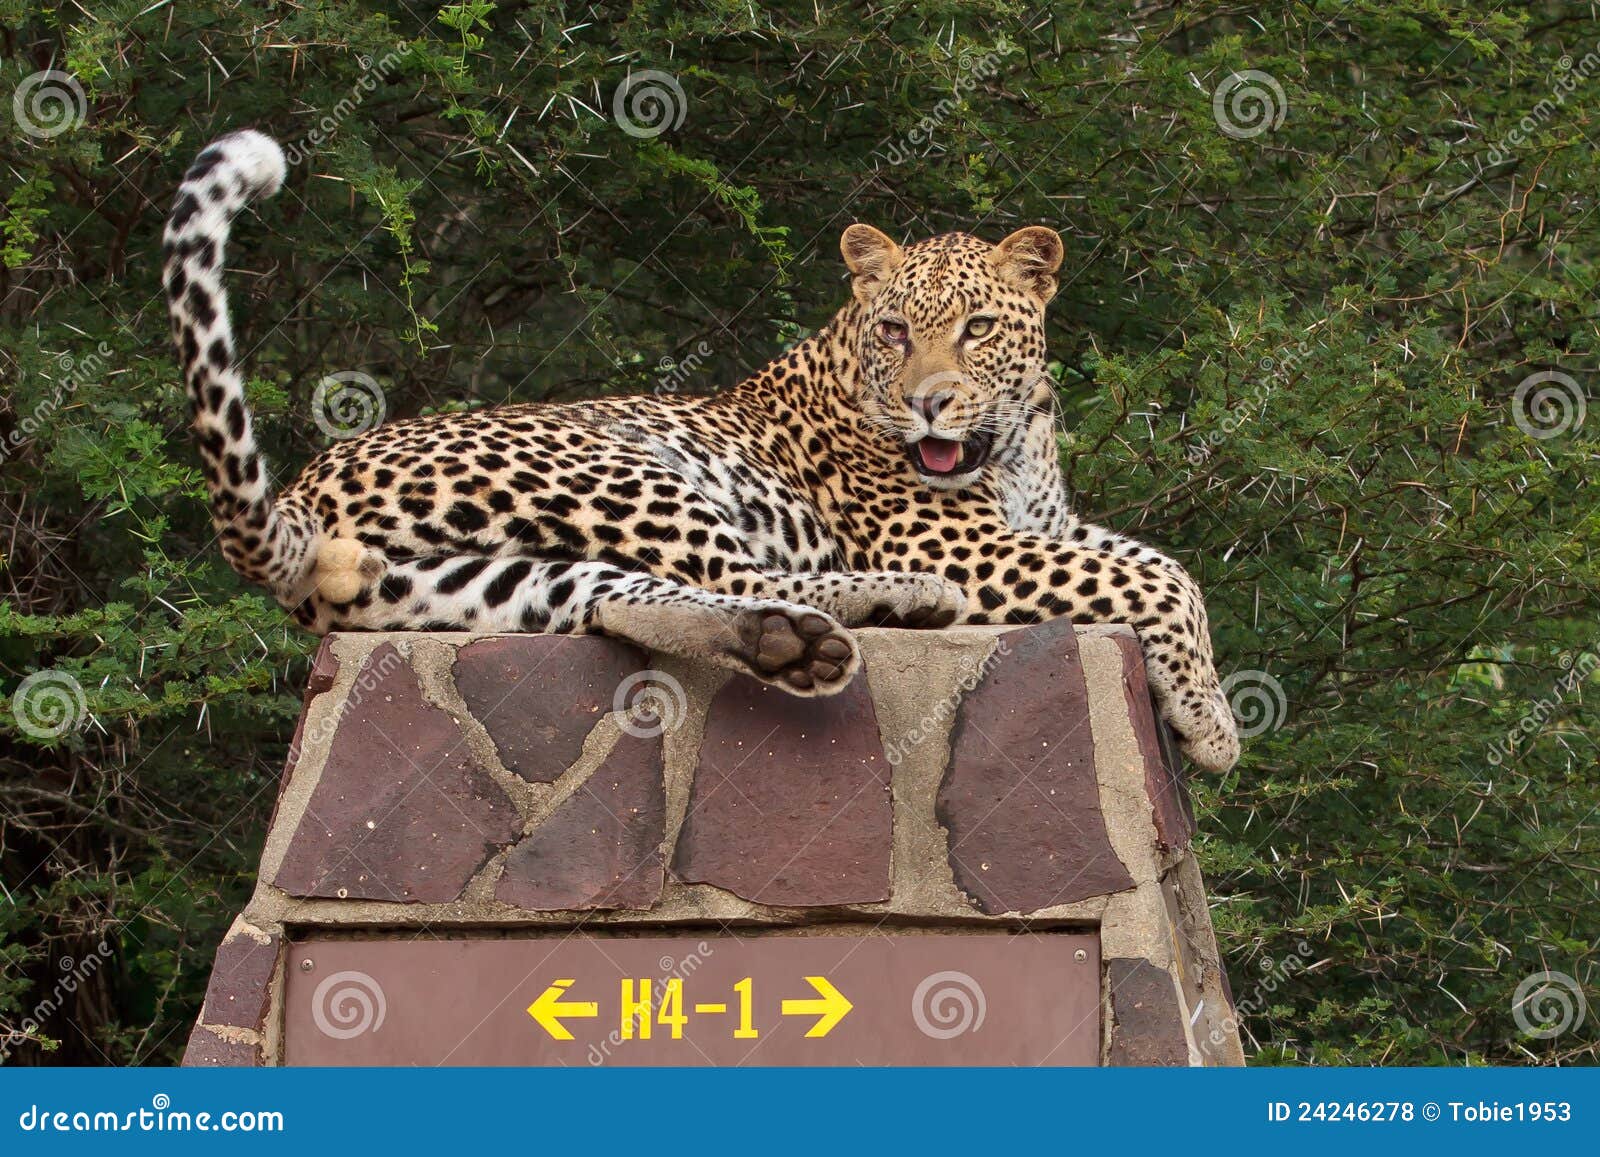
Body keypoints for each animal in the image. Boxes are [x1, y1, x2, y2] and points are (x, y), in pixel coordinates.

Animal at [162, 130, 1239, 772]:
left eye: (976, 329)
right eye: (894, 331)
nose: (928, 404)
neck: (1011, 444)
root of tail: (304, 494)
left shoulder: (1051, 524)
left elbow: (1159, 564)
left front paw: (1204, 706)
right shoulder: (960, 542)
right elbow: (1163, 579)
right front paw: (1215, 727)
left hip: (491, 579)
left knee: (637, 601)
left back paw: (799, 638)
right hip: (620, 467)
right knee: (748, 572)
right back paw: (897, 600)